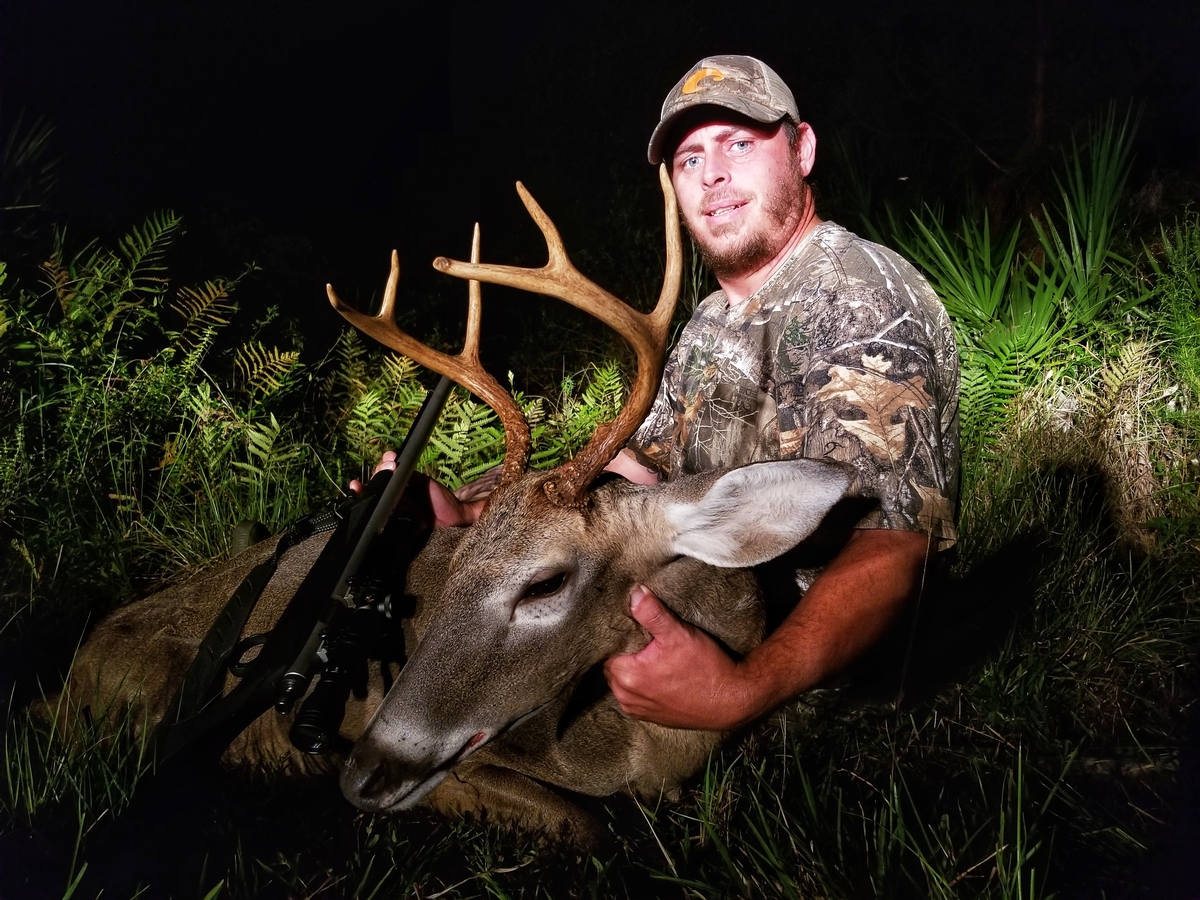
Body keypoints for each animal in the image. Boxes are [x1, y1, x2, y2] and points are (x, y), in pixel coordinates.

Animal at [45, 166, 854, 847]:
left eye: (546, 582)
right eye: (453, 565)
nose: (365, 772)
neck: (647, 753)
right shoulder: (465, 773)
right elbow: (587, 827)